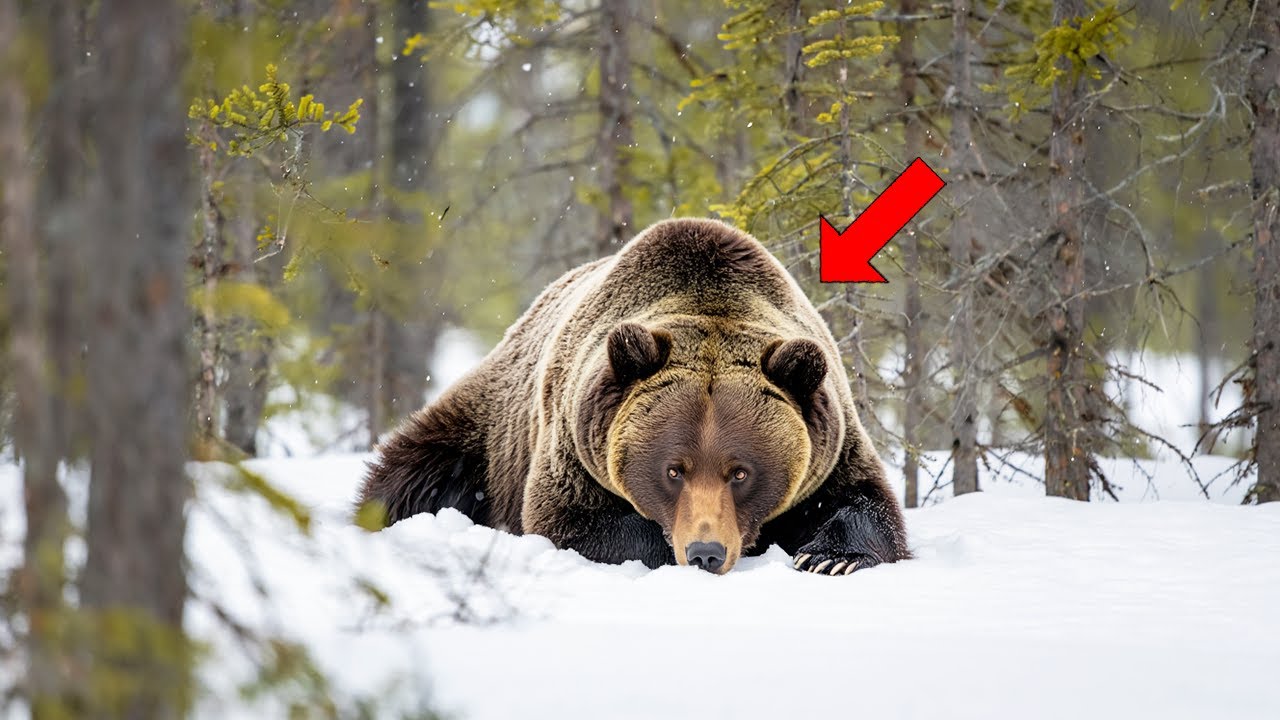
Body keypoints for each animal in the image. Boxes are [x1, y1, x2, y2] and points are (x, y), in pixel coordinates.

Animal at [357, 217, 910, 574]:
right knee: (414, 472)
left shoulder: (829, 440)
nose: (706, 552)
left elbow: (866, 503)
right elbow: (577, 525)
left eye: (741, 472)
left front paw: (828, 556)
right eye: (673, 469)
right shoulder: (576, 445)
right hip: (488, 430)